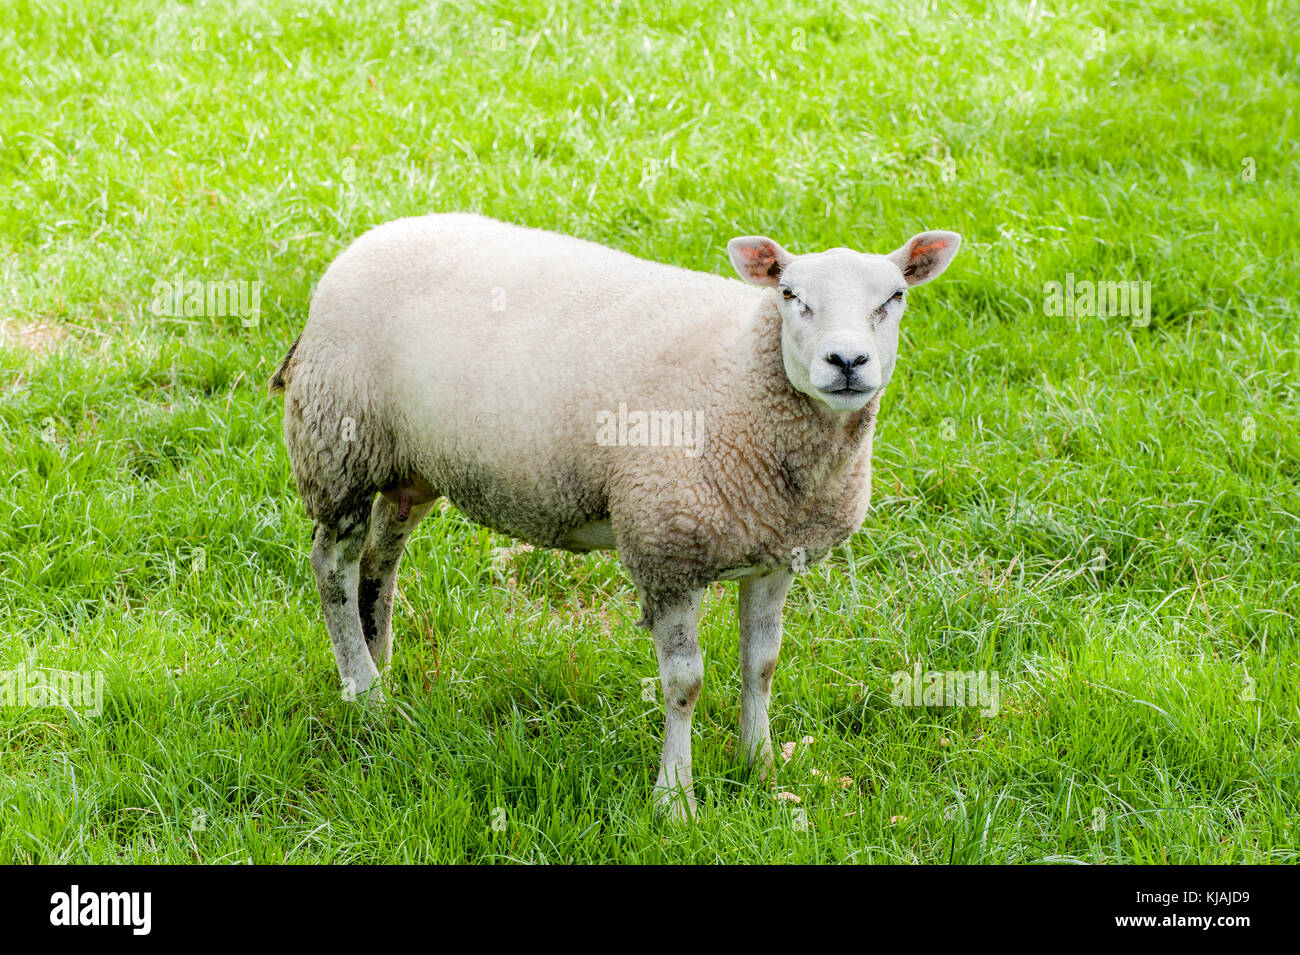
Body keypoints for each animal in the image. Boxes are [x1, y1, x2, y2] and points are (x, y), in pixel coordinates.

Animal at [270, 213, 960, 819]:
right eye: (790, 296)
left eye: (894, 297)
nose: (847, 363)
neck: (741, 373)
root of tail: (367, 241)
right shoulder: (666, 548)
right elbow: (684, 684)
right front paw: (675, 801)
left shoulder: (774, 555)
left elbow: (760, 664)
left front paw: (759, 768)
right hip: (339, 442)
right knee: (333, 567)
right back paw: (364, 693)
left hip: (408, 465)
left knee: (379, 563)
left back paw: (378, 666)